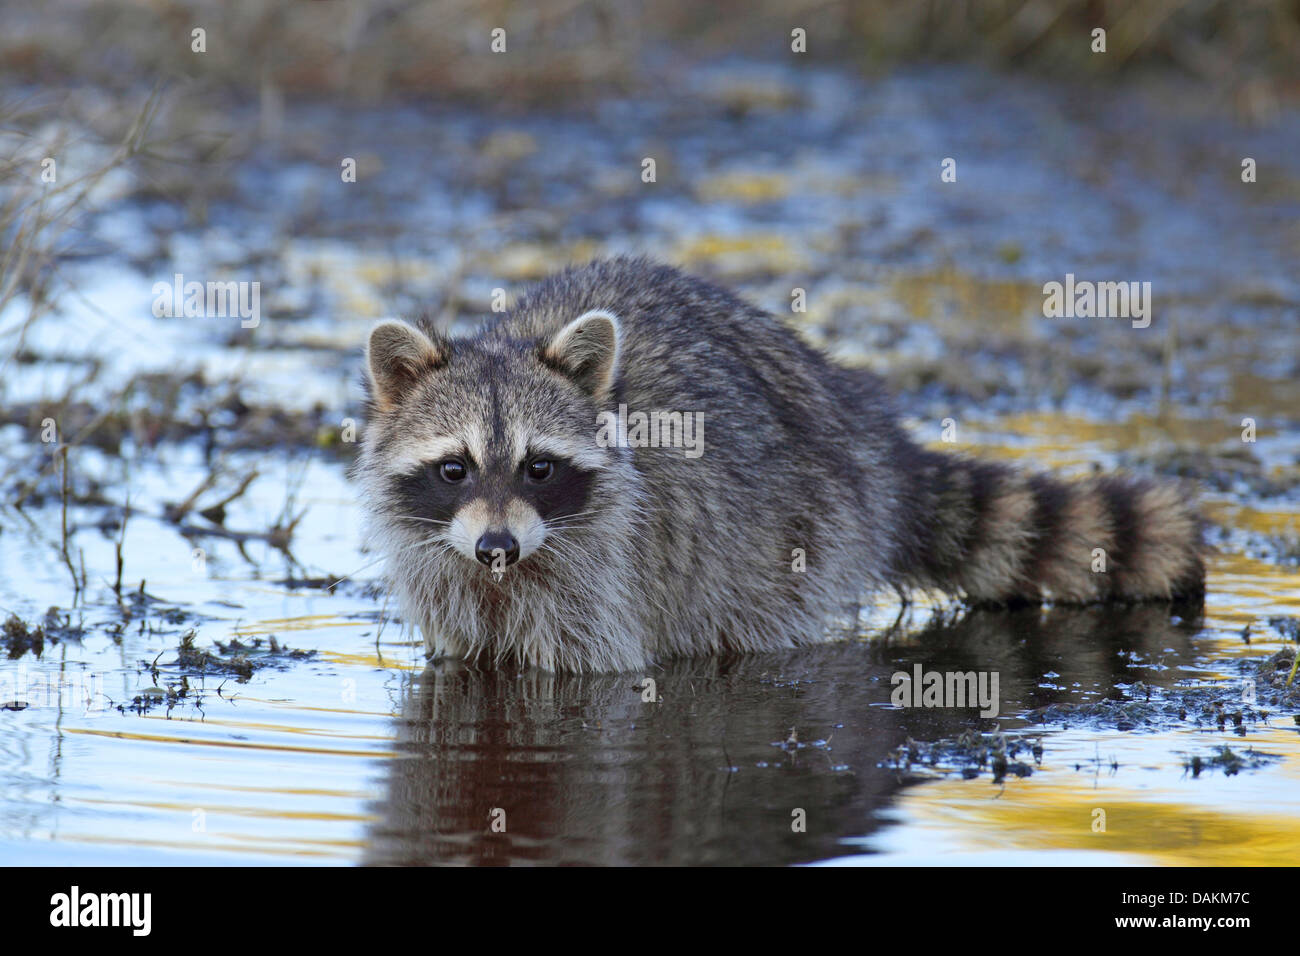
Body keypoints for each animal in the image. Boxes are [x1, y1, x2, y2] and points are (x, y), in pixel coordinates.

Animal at [355, 257, 1204, 672]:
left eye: (539, 468)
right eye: (456, 469)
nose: (497, 546)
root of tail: (860, 424)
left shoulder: (604, 574)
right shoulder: (445, 567)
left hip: (791, 540)